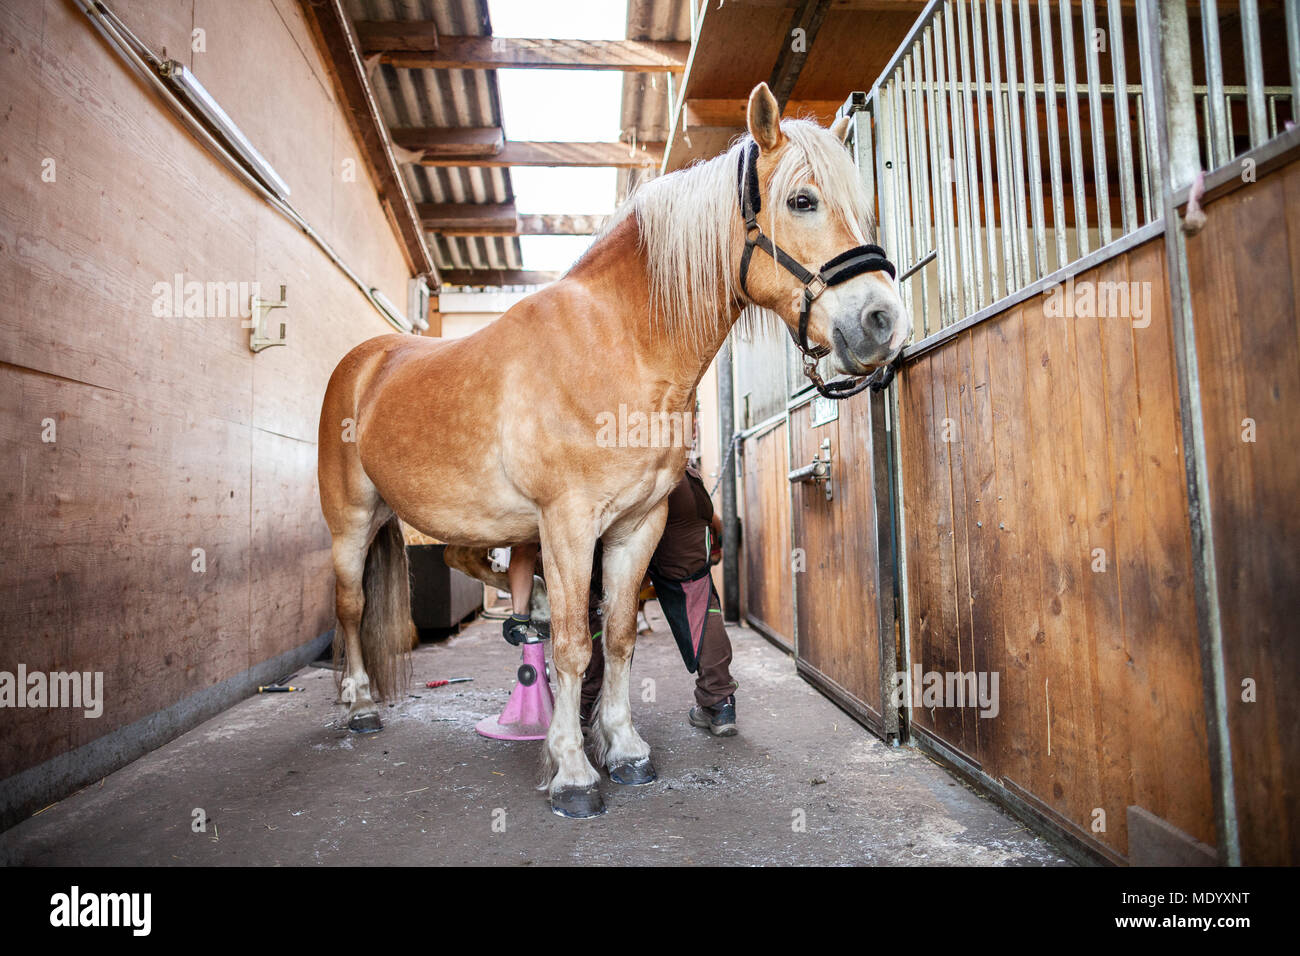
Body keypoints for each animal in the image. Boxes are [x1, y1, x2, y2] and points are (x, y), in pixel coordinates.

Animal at [316, 83, 911, 818]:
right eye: (803, 200)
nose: (884, 322)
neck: (617, 343)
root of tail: (365, 362)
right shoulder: (568, 524)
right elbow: (574, 643)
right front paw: (572, 771)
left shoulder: (638, 524)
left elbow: (621, 634)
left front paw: (625, 749)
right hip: (350, 522)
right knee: (350, 607)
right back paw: (358, 706)